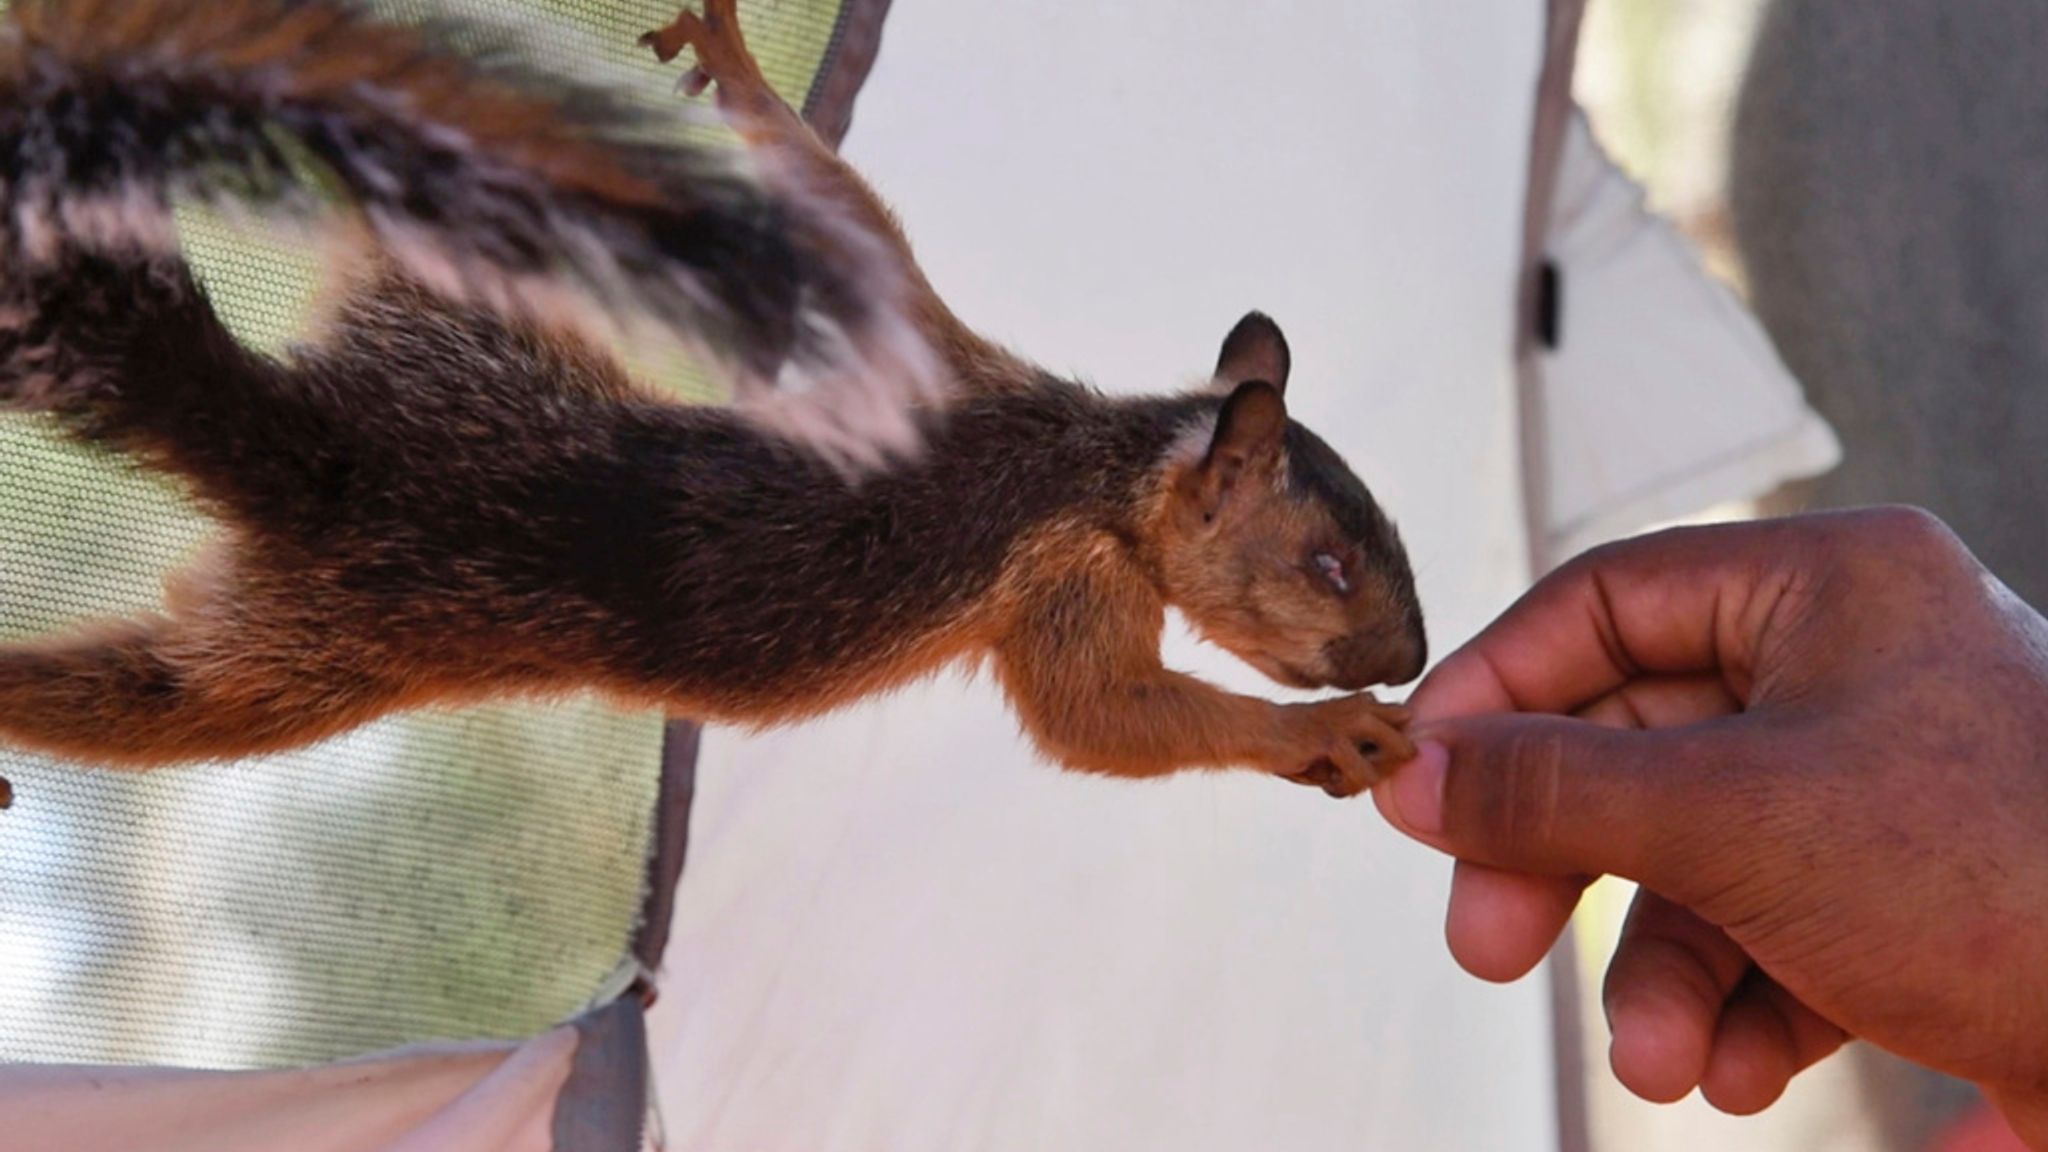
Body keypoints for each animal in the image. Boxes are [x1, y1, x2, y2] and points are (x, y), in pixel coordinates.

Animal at [0, 0, 1426, 806]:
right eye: (1328, 563)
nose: (1409, 661)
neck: (1082, 459)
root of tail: (319, 447)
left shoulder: (946, 364)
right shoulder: (1067, 570)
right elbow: (1106, 722)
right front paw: (1324, 732)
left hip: (413, 392)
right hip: (324, 650)